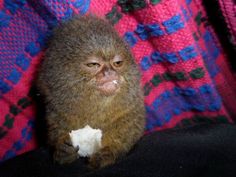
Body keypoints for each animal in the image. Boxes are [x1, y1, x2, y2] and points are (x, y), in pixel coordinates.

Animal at [36, 15, 146, 169]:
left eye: (117, 63)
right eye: (93, 64)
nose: (109, 72)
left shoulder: (131, 108)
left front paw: (109, 152)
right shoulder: (56, 110)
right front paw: (63, 151)